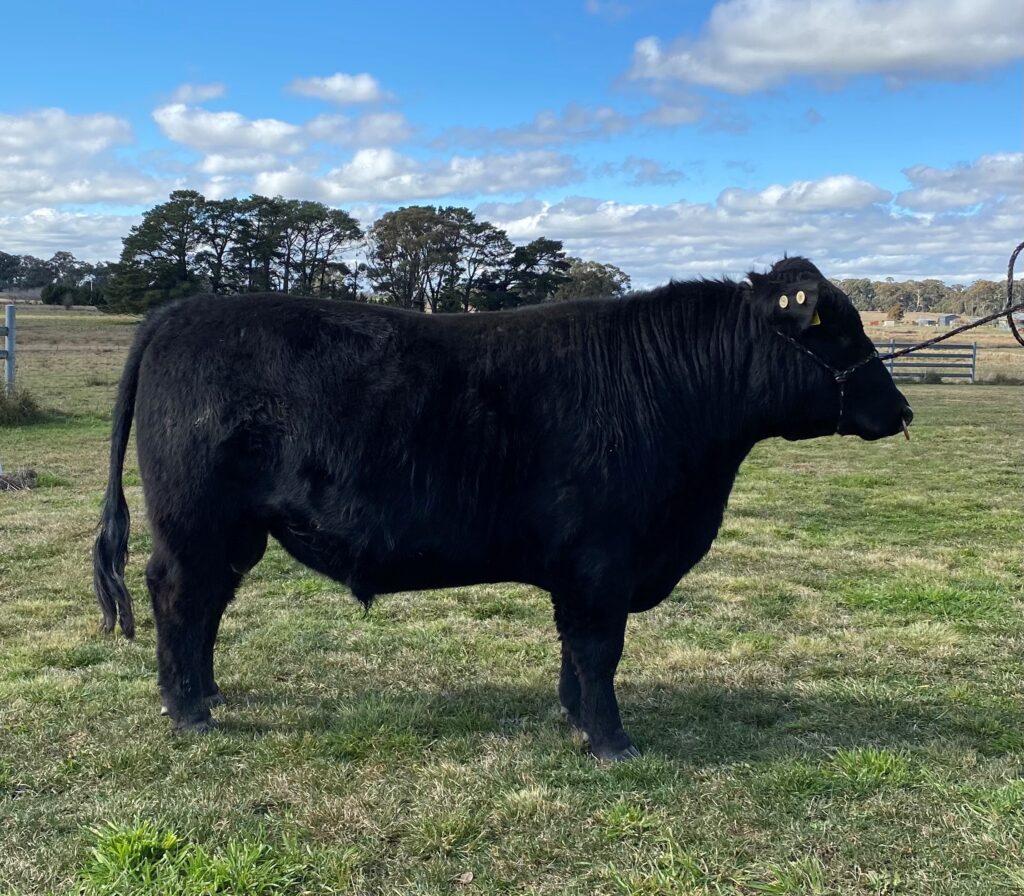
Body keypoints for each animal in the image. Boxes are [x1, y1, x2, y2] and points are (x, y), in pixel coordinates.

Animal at [94, 256, 913, 760]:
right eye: (839, 331)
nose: (902, 409)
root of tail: (177, 314)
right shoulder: (602, 560)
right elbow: (599, 648)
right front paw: (612, 743)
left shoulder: (585, 568)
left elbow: (575, 652)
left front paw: (574, 716)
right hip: (196, 522)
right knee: (178, 596)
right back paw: (188, 710)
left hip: (235, 531)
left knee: (207, 605)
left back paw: (206, 692)